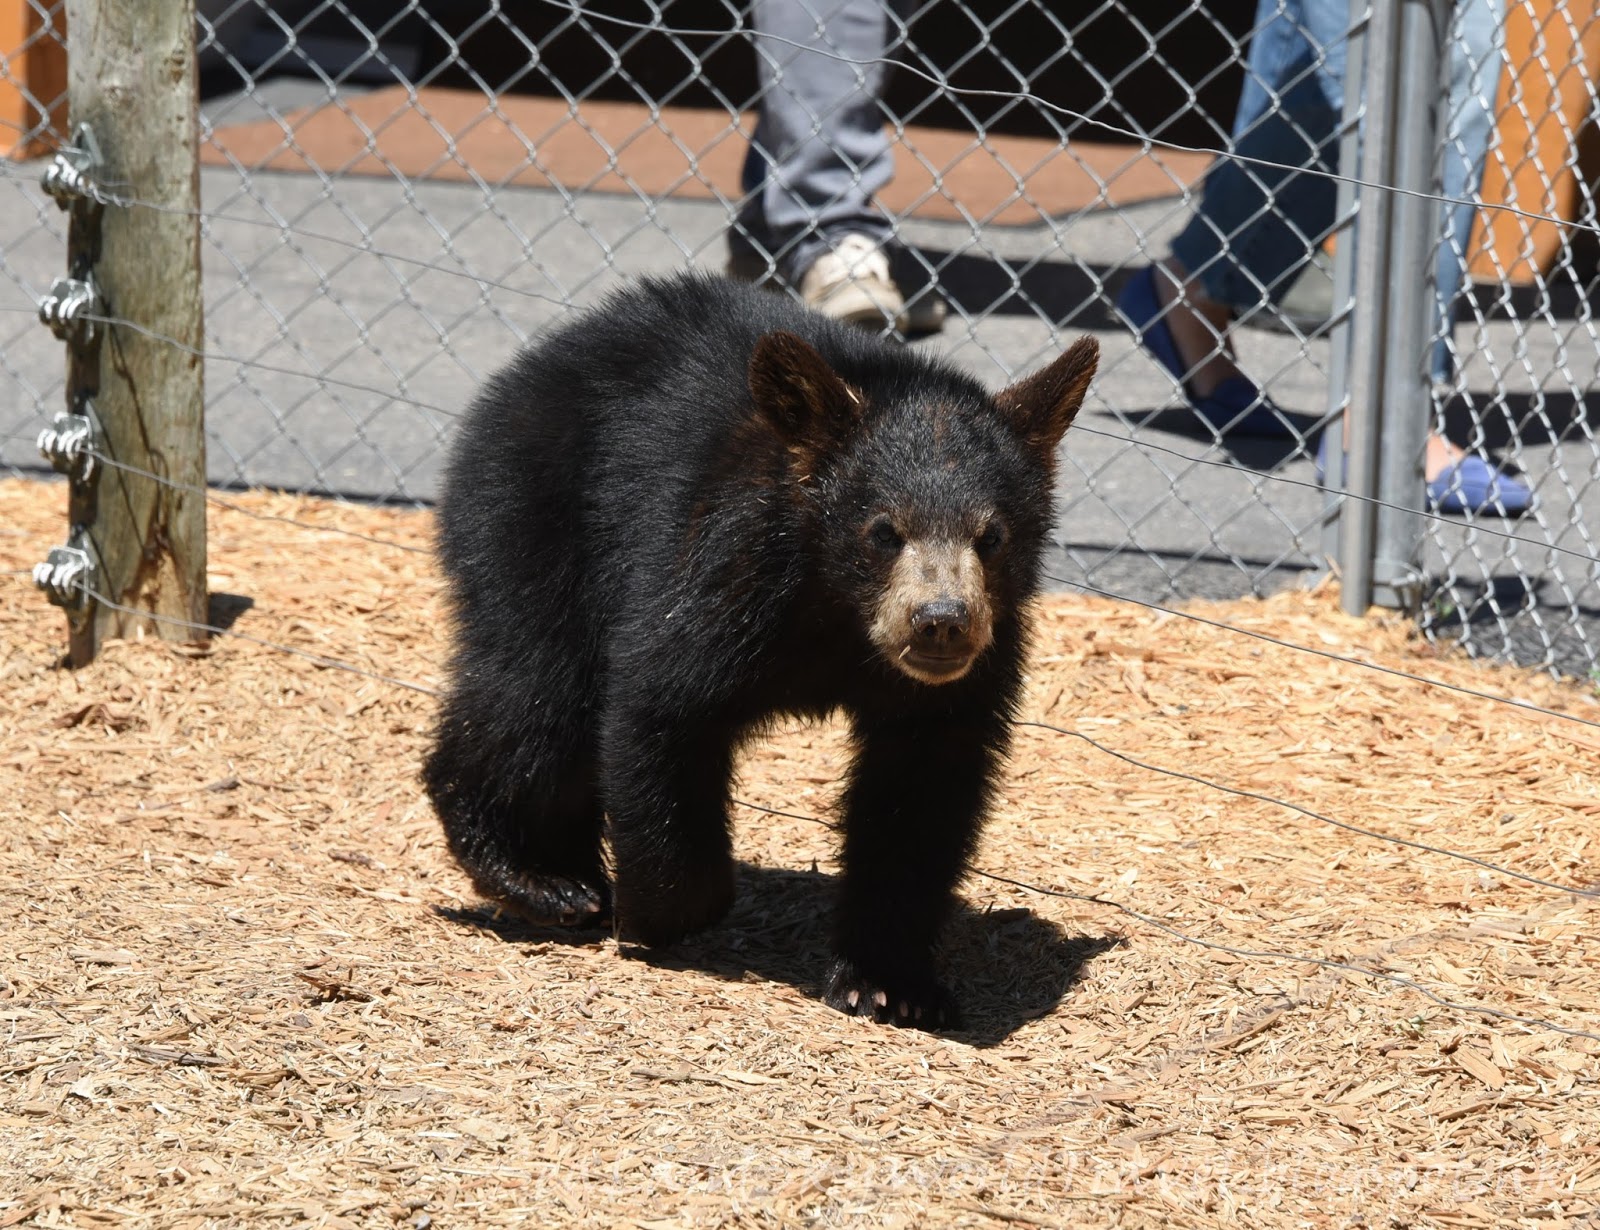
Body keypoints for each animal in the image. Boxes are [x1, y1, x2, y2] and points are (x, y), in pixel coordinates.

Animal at [423, 272, 1097, 1029]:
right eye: (883, 531)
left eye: (992, 536)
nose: (940, 622)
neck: (837, 611)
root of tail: (536, 360)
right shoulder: (724, 570)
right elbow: (662, 705)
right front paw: (659, 914)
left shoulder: (967, 672)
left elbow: (922, 786)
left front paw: (888, 981)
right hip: (535, 507)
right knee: (540, 688)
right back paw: (539, 876)